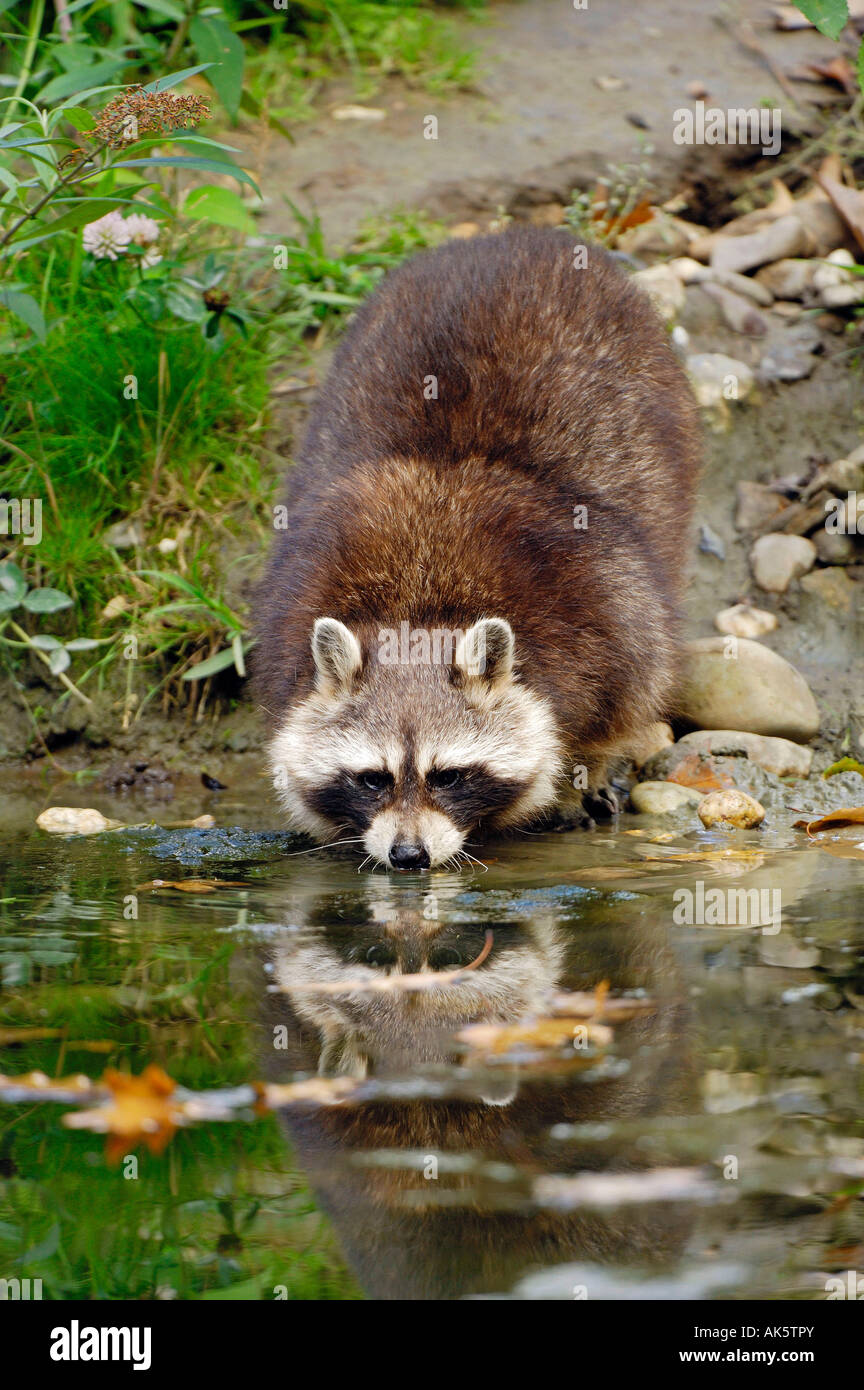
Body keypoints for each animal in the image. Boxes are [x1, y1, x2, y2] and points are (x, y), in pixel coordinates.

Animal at [255, 225, 700, 868]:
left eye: (448, 776)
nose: (408, 856)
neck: (416, 604)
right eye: (372, 778)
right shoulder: (290, 613)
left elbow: (629, 693)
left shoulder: (602, 606)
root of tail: (510, 237)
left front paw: (580, 774)